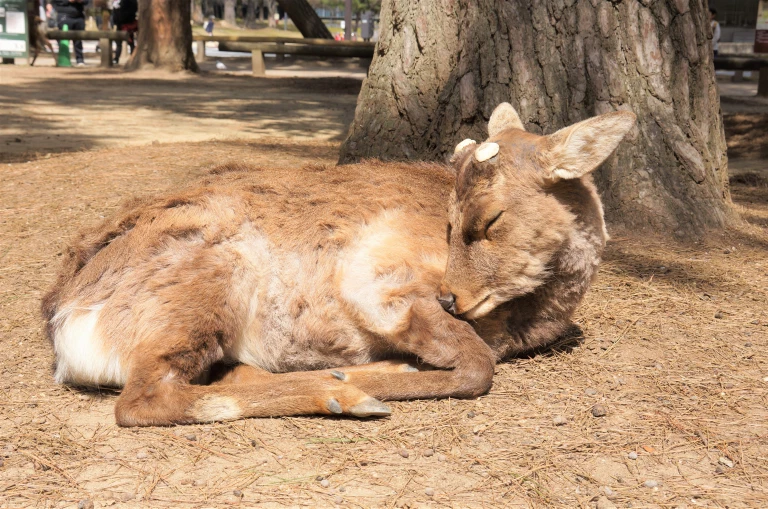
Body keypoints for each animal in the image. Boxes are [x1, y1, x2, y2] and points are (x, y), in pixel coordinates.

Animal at [41, 103, 636, 426]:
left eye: (490, 219)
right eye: (448, 219)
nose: (452, 297)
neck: (530, 316)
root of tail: (65, 317)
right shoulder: (376, 273)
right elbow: (477, 365)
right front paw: (365, 374)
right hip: (203, 286)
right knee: (143, 399)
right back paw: (345, 393)